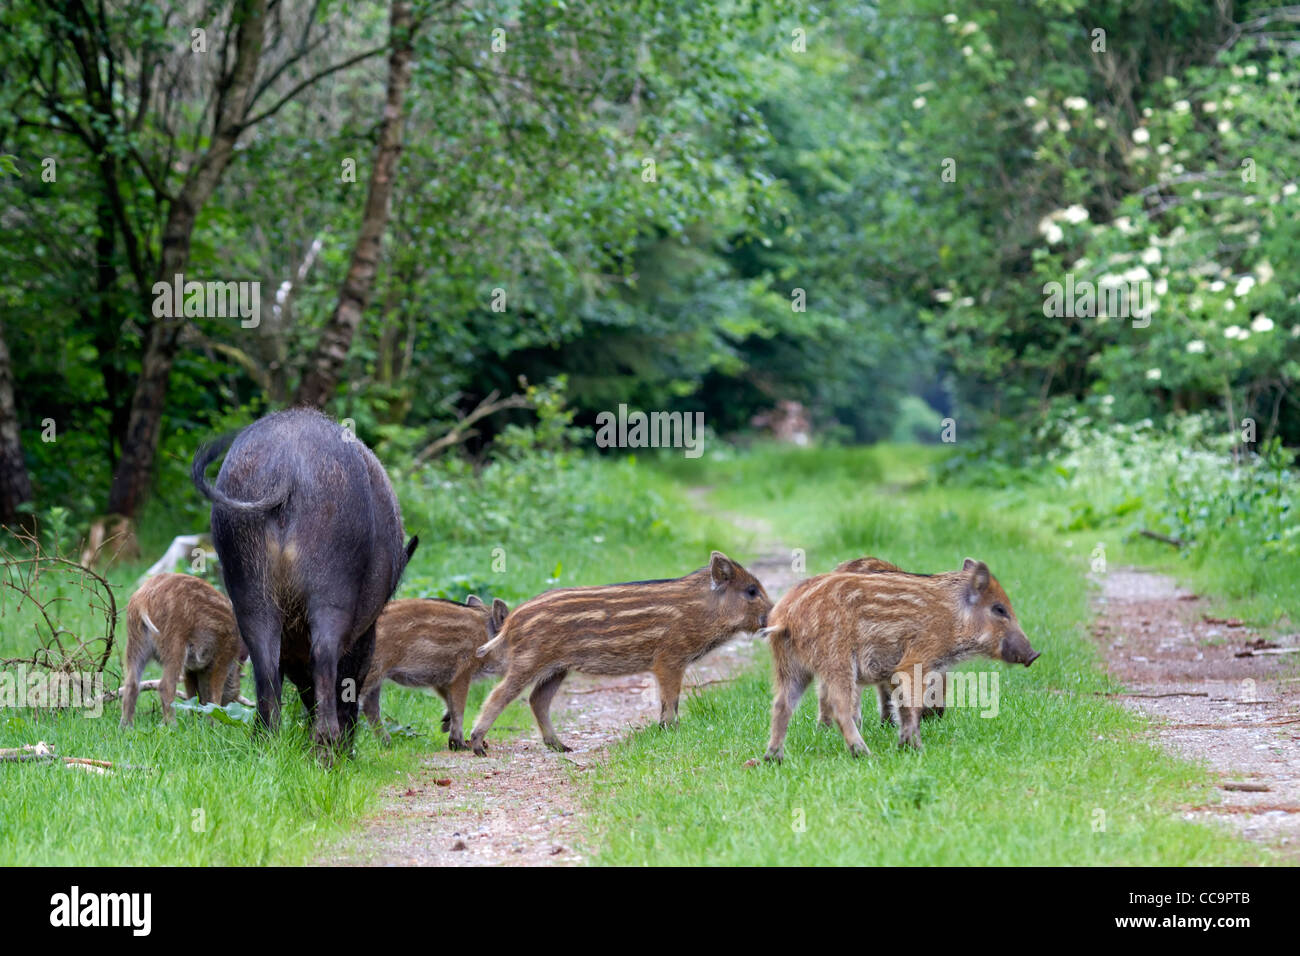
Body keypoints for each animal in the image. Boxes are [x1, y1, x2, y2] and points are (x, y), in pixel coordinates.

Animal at [120, 573, 245, 727]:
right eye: (236, 694)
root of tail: (142, 599)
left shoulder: (190, 669)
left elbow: (194, 695)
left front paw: (196, 721)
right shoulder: (222, 658)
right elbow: (213, 694)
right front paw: (214, 724)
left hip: (135, 642)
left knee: (131, 684)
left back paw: (126, 726)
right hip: (174, 642)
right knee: (165, 686)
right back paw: (172, 725)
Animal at [192, 408, 417, 763]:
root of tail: (287, 467)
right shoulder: (366, 634)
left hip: (248, 584)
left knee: (265, 666)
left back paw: (266, 746)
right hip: (332, 581)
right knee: (324, 656)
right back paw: (326, 749)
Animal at [360, 595, 510, 749]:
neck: (486, 639)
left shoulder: (441, 679)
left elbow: (449, 702)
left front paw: (444, 725)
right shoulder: (462, 673)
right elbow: (459, 708)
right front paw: (459, 744)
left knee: (370, 707)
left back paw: (387, 743)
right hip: (373, 670)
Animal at [468, 551, 772, 755]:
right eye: (751, 591)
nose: (773, 614)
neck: (702, 610)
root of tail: (511, 622)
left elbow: (668, 701)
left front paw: (665, 731)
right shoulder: (669, 659)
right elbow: (671, 699)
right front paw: (671, 731)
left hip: (557, 668)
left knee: (537, 700)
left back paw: (561, 747)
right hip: (529, 660)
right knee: (500, 694)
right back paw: (477, 745)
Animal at [763, 558, 1038, 761]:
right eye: (999, 609)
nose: (1034, 654)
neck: (953, 617)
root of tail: (785, 614)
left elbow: (902, 706)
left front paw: (906, 747)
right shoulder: (915, 661)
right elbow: (910, 705)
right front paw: (915, 748)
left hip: (790, 666)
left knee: (781, 705)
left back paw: (773, 758)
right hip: (836, 660)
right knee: (840, 705)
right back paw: (863, 753)